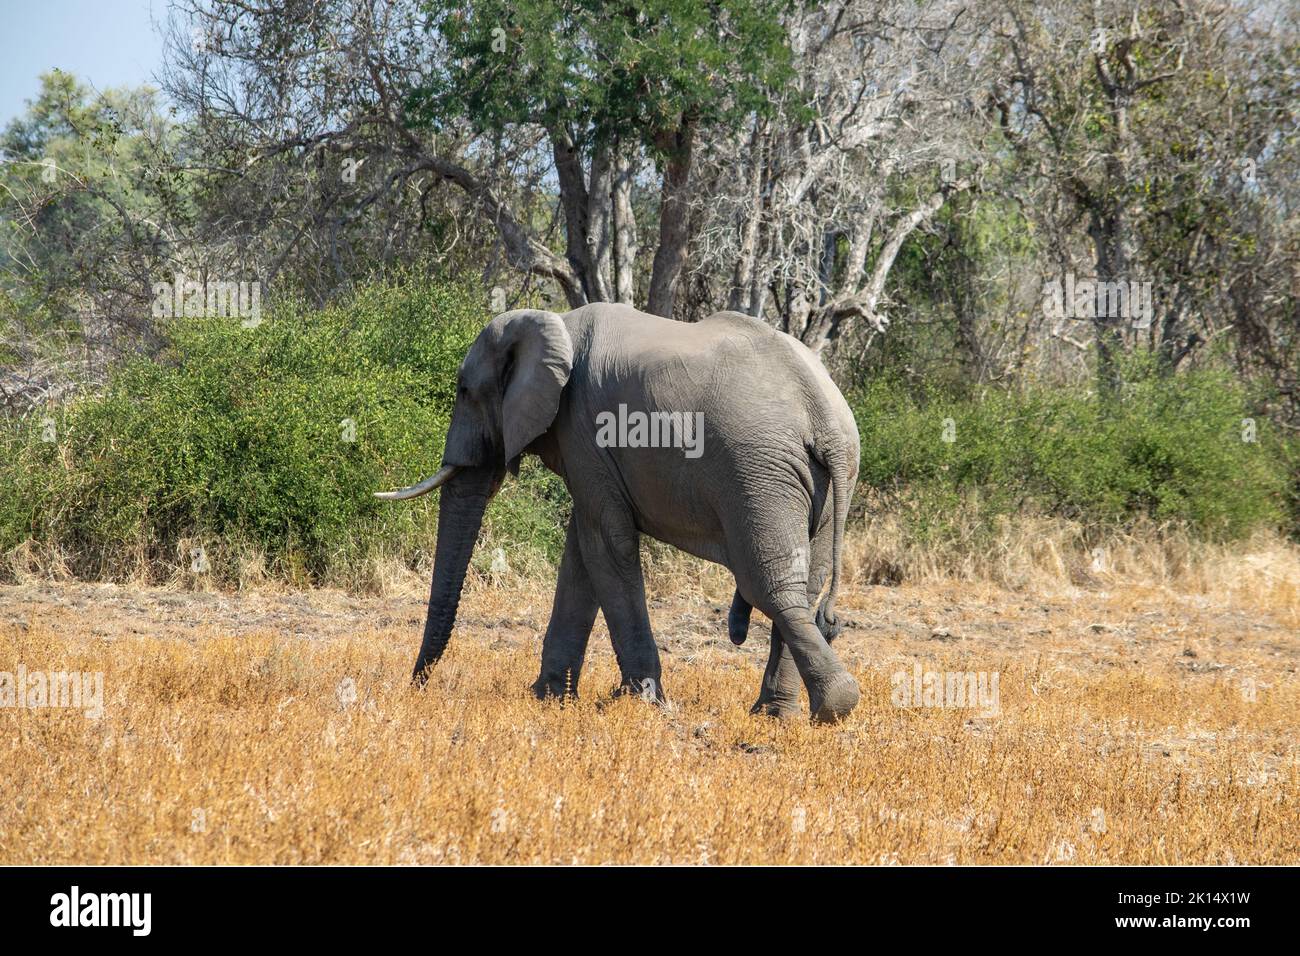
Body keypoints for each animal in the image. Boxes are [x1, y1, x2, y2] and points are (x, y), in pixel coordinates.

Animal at [376, 302, 861, 722]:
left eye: (464, 391)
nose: (417, 686)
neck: (556, 322)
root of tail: (827, 420)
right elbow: (581, 552)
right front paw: (549, 699)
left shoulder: (585, 428)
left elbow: (605, 544)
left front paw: (635, 702)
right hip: (817, 485)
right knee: (804, 585)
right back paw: (779, 715)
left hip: (757, 473)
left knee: (770, 587)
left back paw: (832, 706)